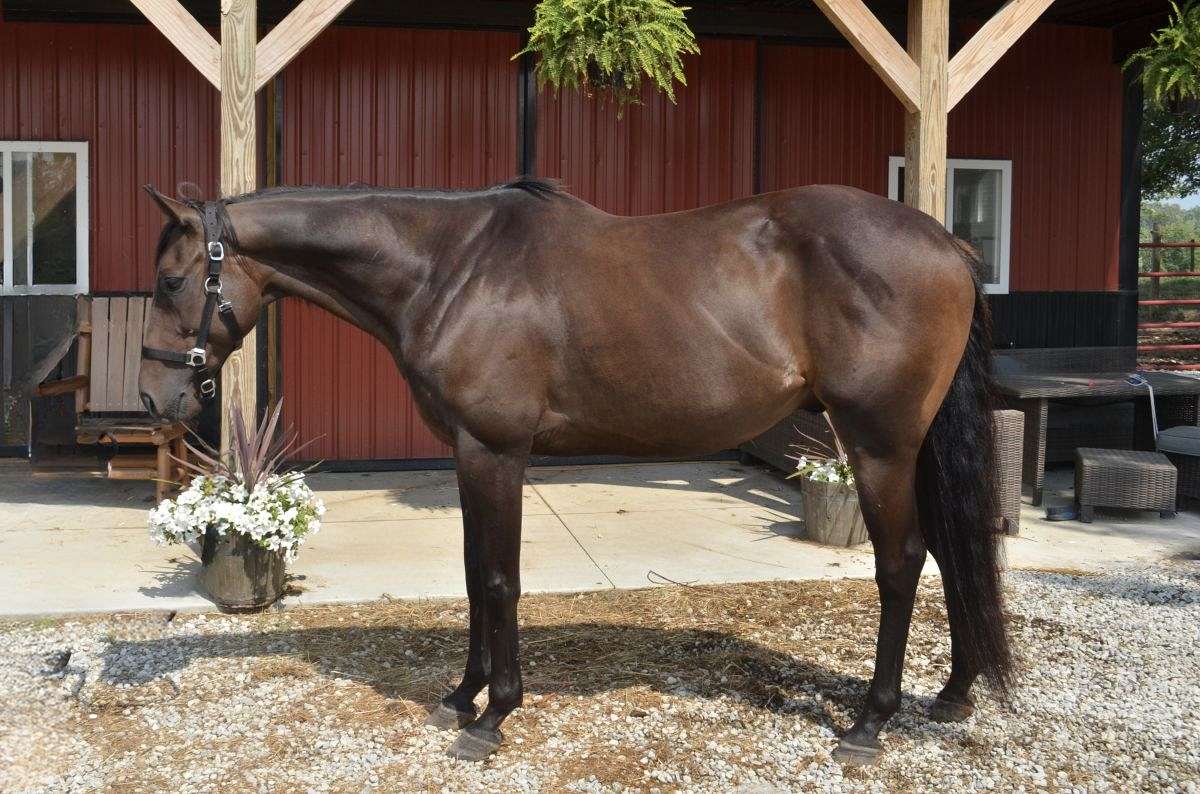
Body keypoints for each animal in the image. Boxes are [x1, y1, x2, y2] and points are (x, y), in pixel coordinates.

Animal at [138, 177, 1011, 765]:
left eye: (171, 280)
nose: (155, 396)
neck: (448, 267)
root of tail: (949, 246)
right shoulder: (467, 451)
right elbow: (473, 573)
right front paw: (459, 697)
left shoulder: (496, 451)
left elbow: (498, 580)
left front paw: (493, 717)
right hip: (909, 448)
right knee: (950, 550)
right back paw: (954, 693)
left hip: (879, 444)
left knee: (902, 563)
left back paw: (869, 722)